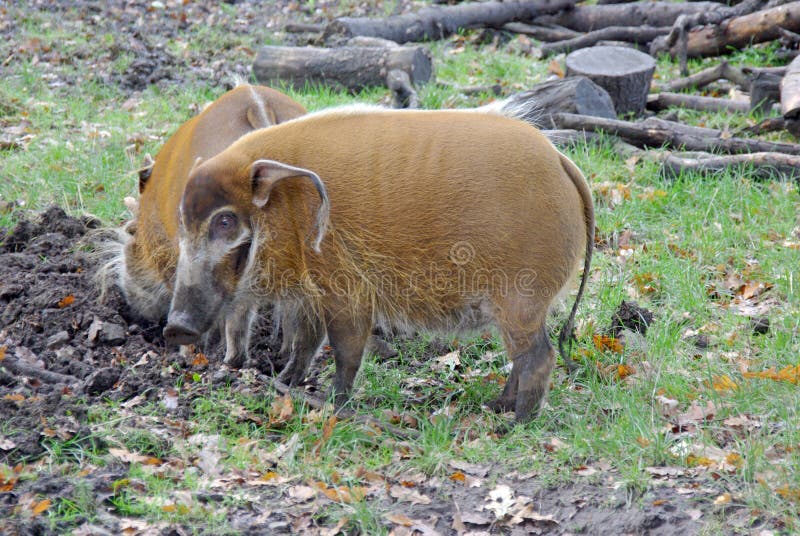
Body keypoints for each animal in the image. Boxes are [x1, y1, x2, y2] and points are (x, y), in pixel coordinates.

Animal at [163, 107, 594, 422]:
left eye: (224, 221)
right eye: (182, 221)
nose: (175, 328)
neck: (290, 209)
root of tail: (561, 161)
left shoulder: (345, 286)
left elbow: (345, 348)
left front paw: (333, 405)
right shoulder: (309, 294)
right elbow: (305, 342)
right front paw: (286, 381)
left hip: (521, 298)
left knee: (538, 356)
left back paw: (514, 422)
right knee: (522, 358)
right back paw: (495, 407)